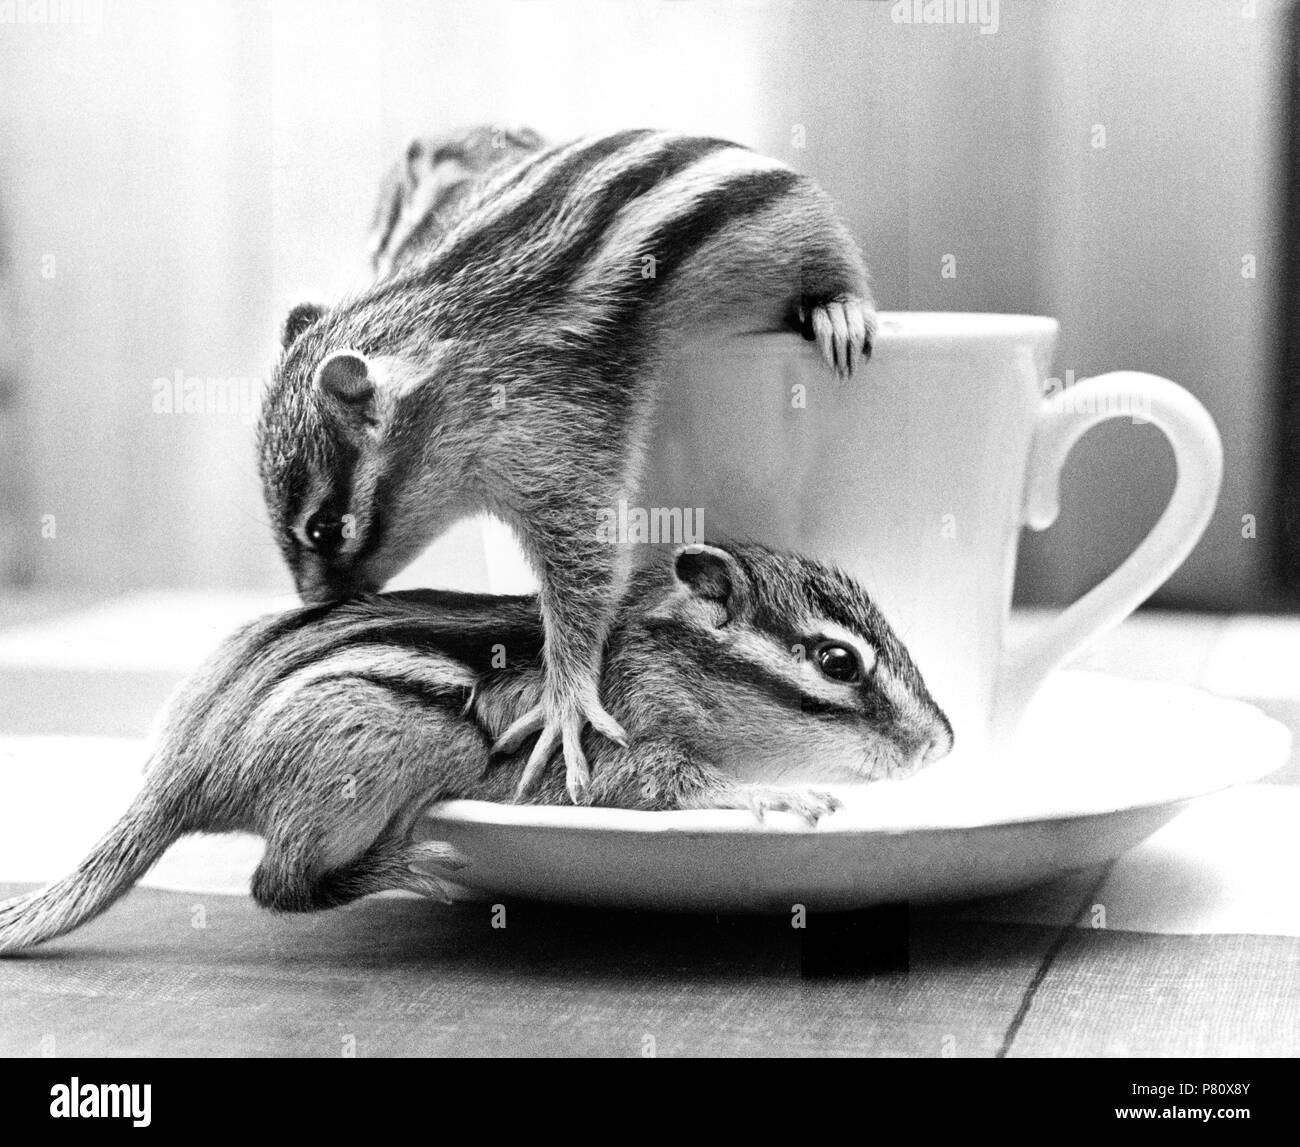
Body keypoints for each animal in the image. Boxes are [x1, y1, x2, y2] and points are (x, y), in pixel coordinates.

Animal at [0, 542, 950, 954]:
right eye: (836, 661)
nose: (943, 744)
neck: (646, 647)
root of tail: (183, 773)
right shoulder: (600, 754)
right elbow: (663, 783)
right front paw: (767, 793)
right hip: (368, 756)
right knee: (276, 884)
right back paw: (401, 863)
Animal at [257, 128, 877, 807]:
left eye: (323, 528)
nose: (312, 605)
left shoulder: (558, 445)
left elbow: (589, 573)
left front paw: (567, 704)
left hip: (807, 236)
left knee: (842, 273)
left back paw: (839, 314)